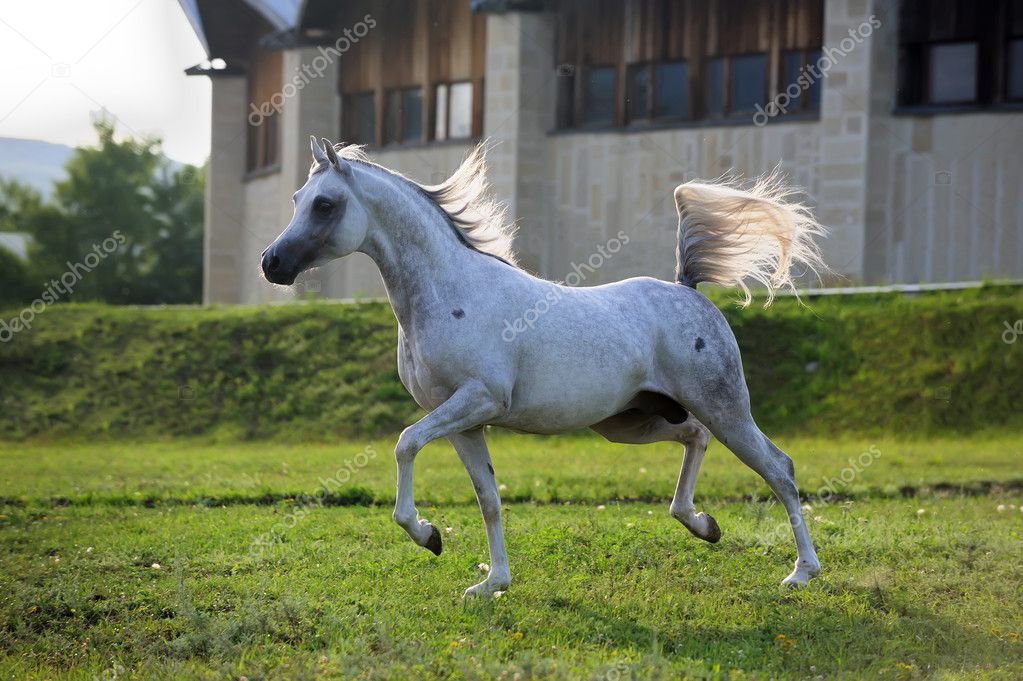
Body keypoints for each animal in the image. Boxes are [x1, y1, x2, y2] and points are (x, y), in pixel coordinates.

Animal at [261, 136, 827, 597]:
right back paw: (702, 524)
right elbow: (488, 498)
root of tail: (687, 288)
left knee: (779, 467)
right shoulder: (463, 422)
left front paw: (428, 536)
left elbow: (405, 444)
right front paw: (490, 583)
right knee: (695, 438)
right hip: (630, 422)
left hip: (723, 407)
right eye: (295, 199)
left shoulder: (478, 401)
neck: (449, 294)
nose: (271, 264)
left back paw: (801, 573)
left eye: (325, 203)